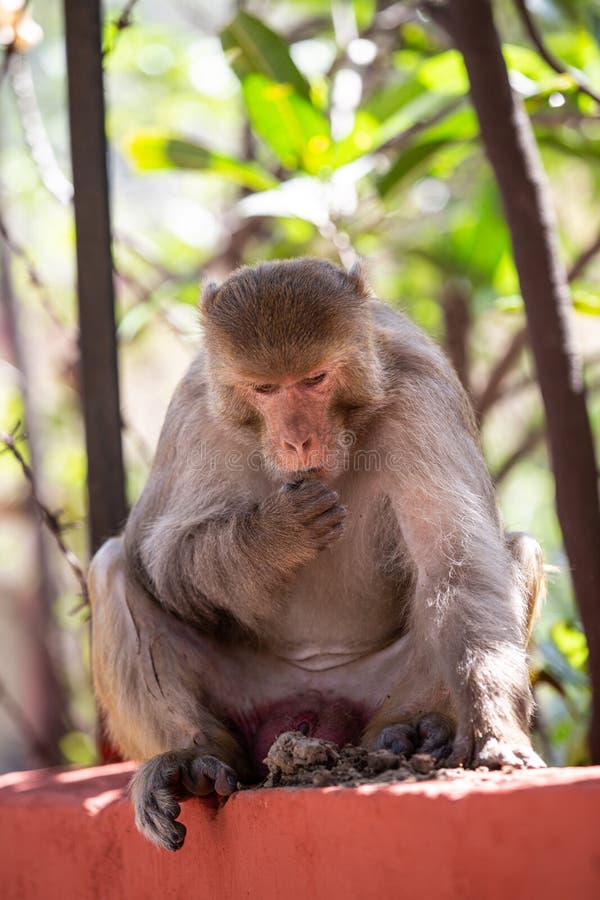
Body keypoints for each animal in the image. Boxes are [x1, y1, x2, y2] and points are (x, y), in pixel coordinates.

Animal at [88, 257, 545, 852]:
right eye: (264, 388)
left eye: (314, 380)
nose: (297, 441)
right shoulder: (194, 412)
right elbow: (155, 557)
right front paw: (274, 536)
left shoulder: (421, 394)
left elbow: (456, 564)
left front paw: (495, 732)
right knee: (112, 567)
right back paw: (191, 758)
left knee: (516, 551)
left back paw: (413, 730)